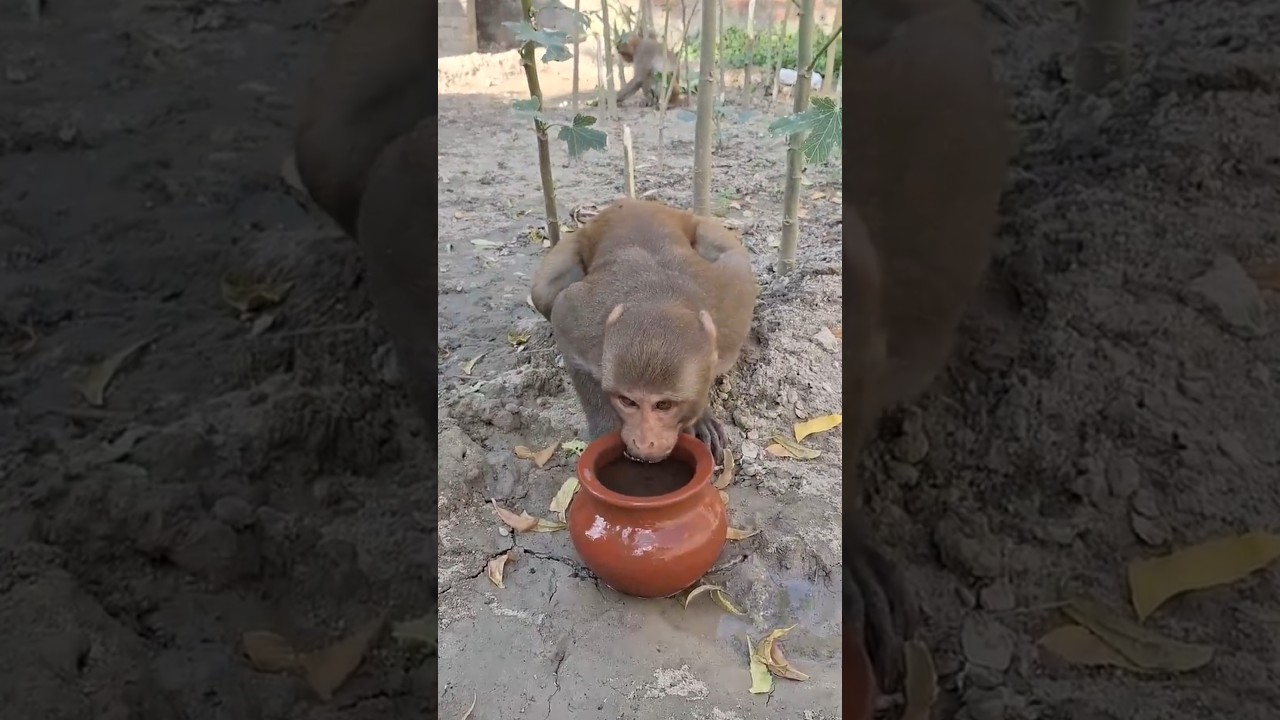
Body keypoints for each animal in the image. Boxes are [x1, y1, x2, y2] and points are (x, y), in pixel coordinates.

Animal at [530, 199, 757, 464]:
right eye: (628, 402)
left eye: (664, 405)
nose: (644, 442)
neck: (660, 298)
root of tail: (632, 203)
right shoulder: (582, 327)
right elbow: (563, 319)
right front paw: (605, 434)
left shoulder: (732, 315)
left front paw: (700, 415)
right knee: (544, 291)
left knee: (736, 256)